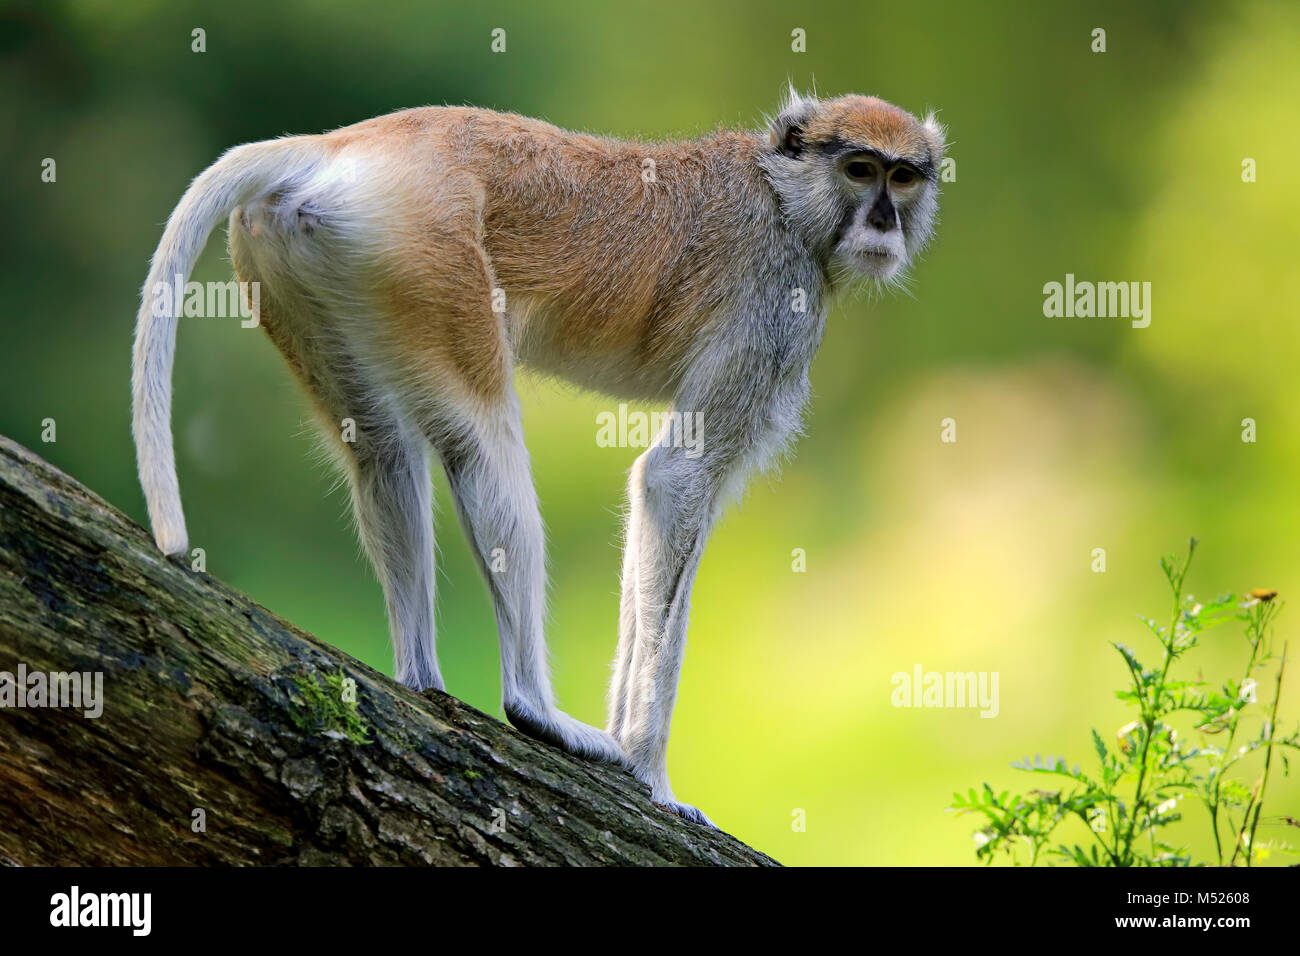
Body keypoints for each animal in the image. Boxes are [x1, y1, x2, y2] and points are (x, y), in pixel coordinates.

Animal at [132, 88, 945, 827]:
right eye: (860, 169)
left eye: (903, 178)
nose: (883, 220)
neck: (784, 197)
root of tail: (342, 145)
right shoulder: (776, 308)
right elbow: (674, 481)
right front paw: (650, 773)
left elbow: (660, 504)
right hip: (428, 257)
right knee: (480, 439)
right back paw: (534, 709)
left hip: (309, 262)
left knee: (381, 451)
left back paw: (420, 680)